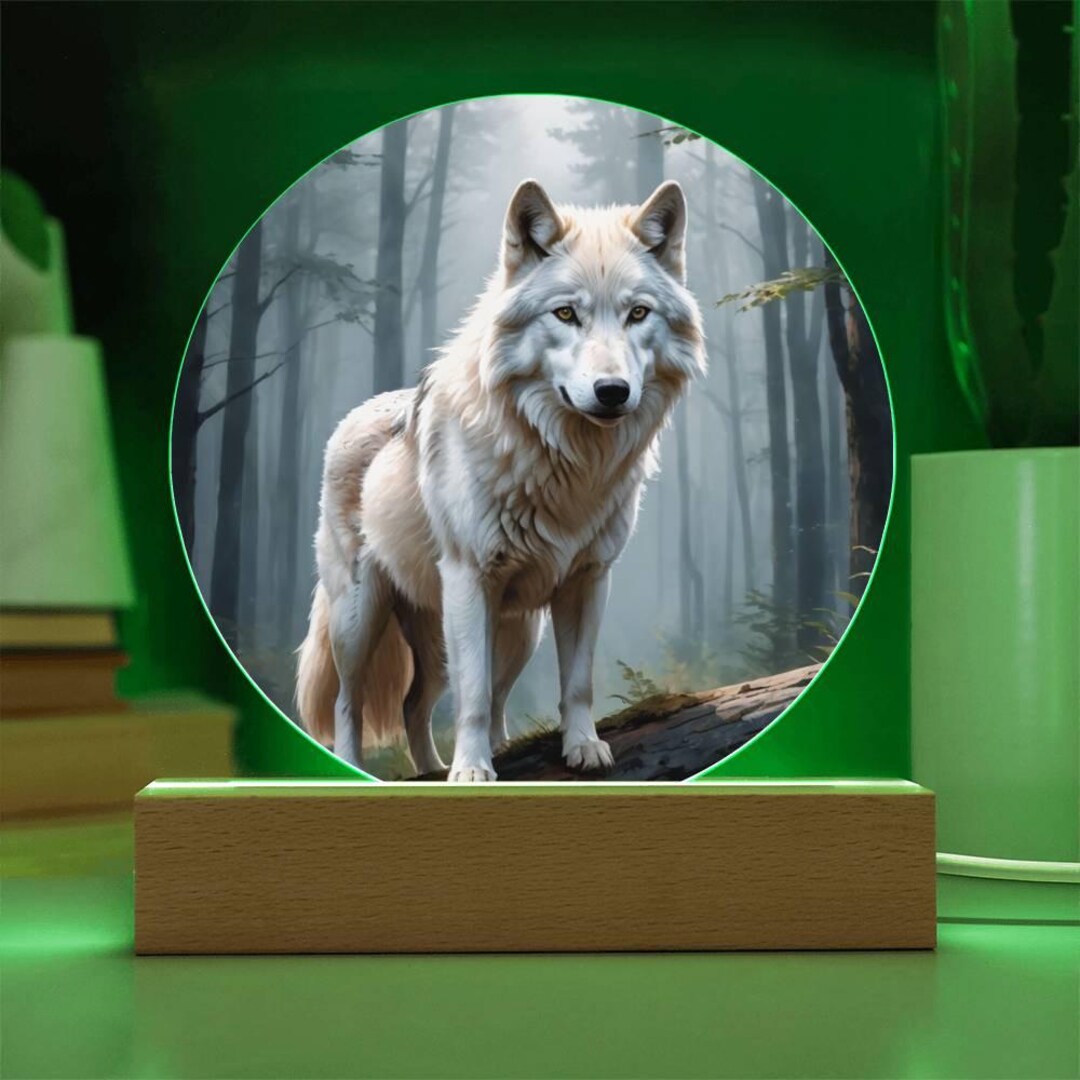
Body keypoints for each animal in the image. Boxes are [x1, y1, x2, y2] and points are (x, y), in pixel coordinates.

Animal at [296, 178, 706, 781]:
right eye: (566, 314)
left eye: (637, 313)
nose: (612, 392)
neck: (566, 464)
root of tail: (352, 416)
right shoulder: (471, 580)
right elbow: (471, 697)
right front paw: (471, 771)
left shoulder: (588, 579)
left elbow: (575, 682)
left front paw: (583, 747)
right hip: (360, 617)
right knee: (352, 703)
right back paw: (365, 770)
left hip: (509, 631)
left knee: (423, 703)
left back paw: (438, 767)